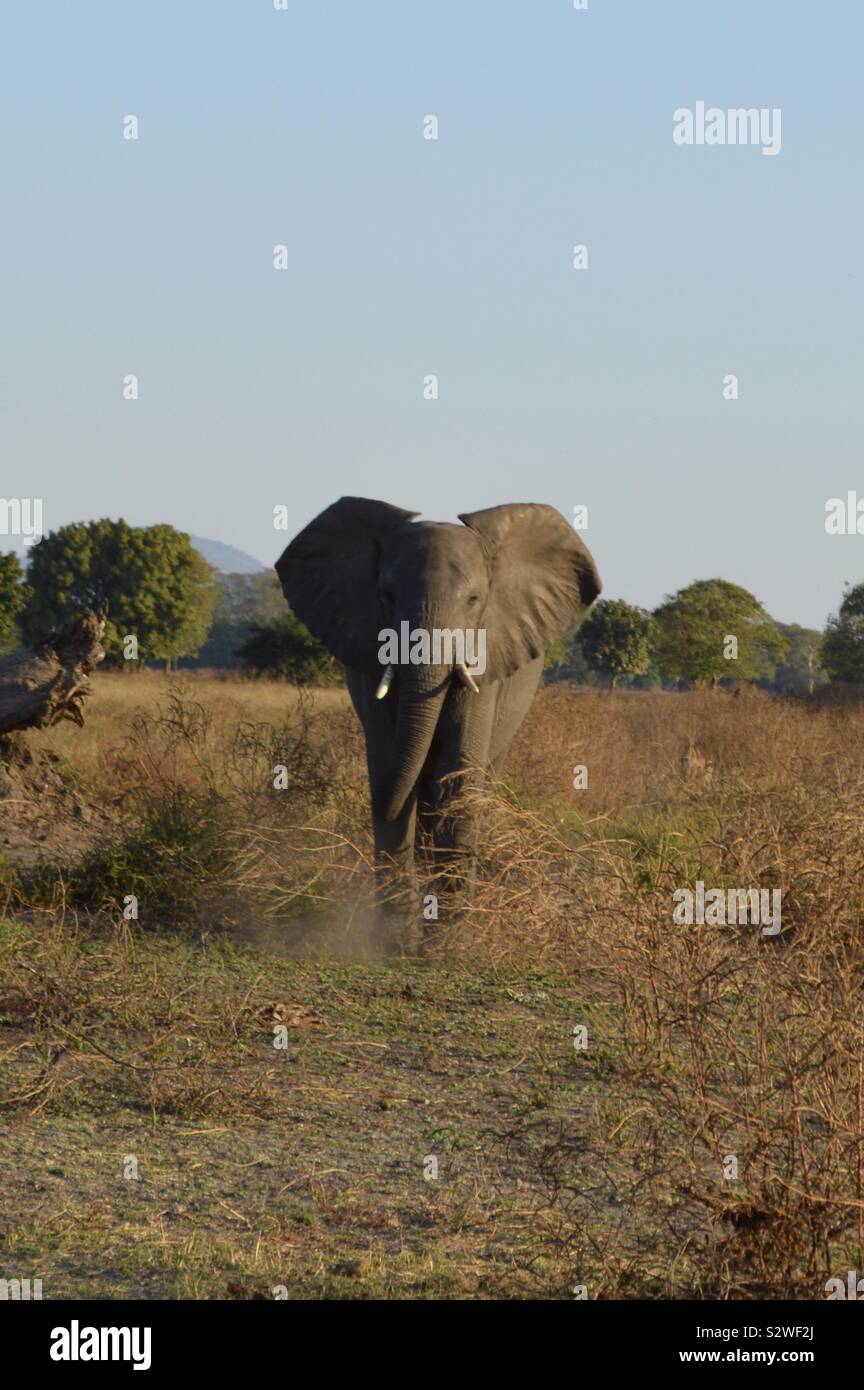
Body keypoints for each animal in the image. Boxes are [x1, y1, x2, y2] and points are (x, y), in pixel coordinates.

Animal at [275, 496, 601, 950]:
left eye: (475, 599)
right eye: (386, 594)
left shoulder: (486, 659)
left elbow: (455, 775)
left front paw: (446, 948)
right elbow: (390, 763)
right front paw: (397, 944)